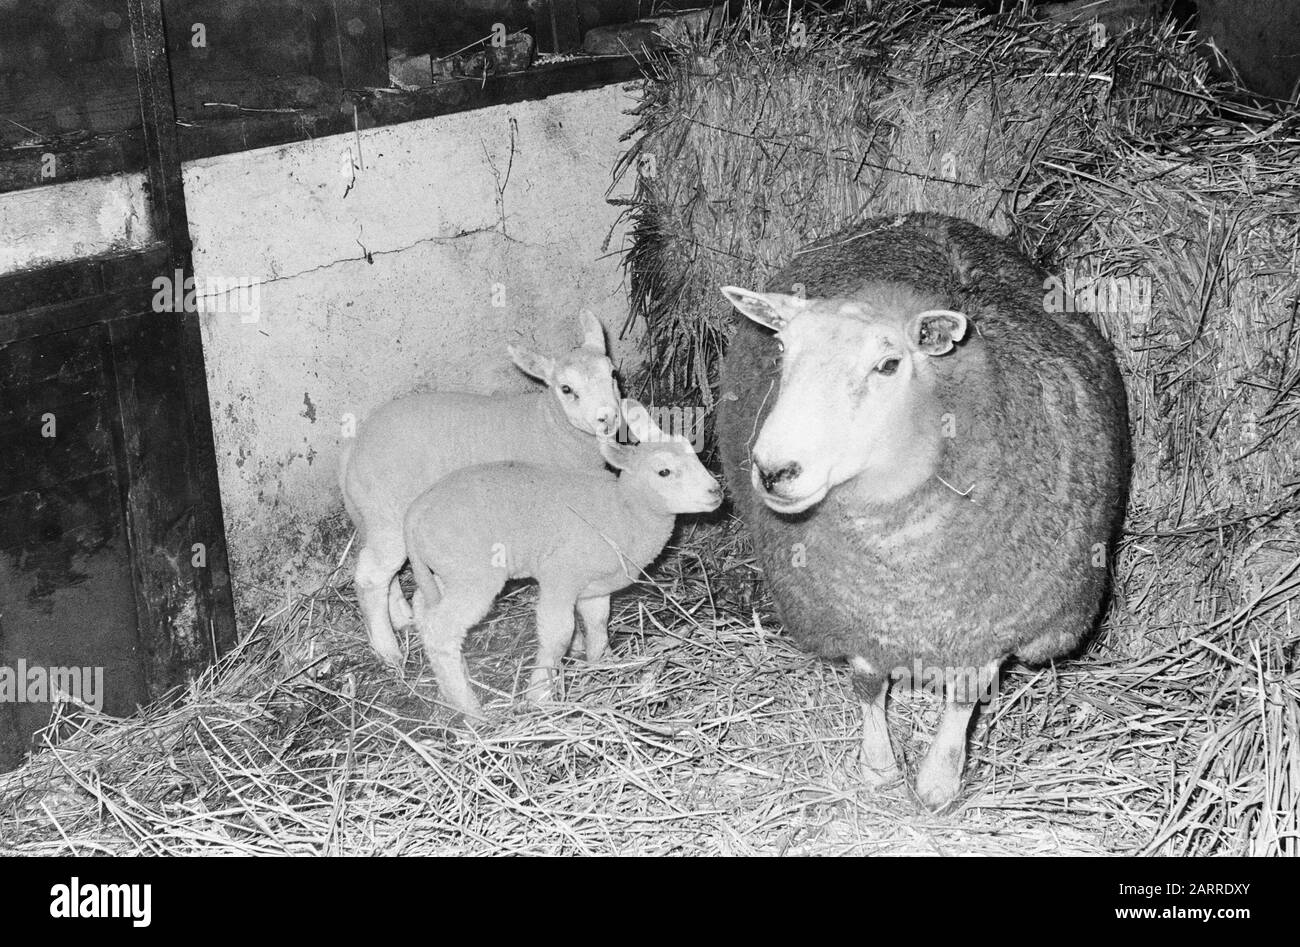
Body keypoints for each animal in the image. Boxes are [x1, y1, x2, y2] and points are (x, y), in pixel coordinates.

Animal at [339, 310, 622, 669]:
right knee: (370, 577)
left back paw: (401, 617)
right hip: (387, 512)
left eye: (612, 374)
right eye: (567, 388)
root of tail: (354, 445)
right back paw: (388, 651)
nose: (607, 418)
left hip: (371, 517)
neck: (549, 426)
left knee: (380, 570)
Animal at [403, 400, 722, 719]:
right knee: (441, 630)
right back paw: (471, 709)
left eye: (694, 454)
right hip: (472, 573)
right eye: (663, 471)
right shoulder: (561, 577)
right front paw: (540, 695)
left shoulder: (595, 587)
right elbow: (559, 635)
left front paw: (602, 664)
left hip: (444, 569)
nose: (716, 491)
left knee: (422, 609)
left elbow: (598, 622)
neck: (624, 510)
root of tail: (415, 513)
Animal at [717, 212, 1130, 810]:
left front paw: (938, 781)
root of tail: (925, 217)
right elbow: (869, 686)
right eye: (782, 353)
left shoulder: (992, 620)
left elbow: (964, 695)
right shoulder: (858, 614)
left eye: (888, 365)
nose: (774, 470)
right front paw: (879, 768)